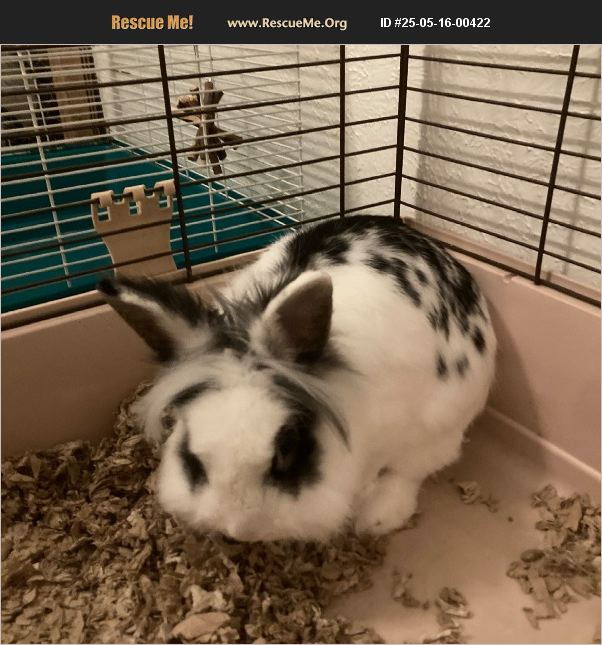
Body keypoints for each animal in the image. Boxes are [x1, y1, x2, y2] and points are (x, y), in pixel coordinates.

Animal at [98, 215, 496, 542]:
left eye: (287, 447)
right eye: (191, 455)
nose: (240, 530)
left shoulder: (428, 429)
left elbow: (406, 472)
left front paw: (374, 517)